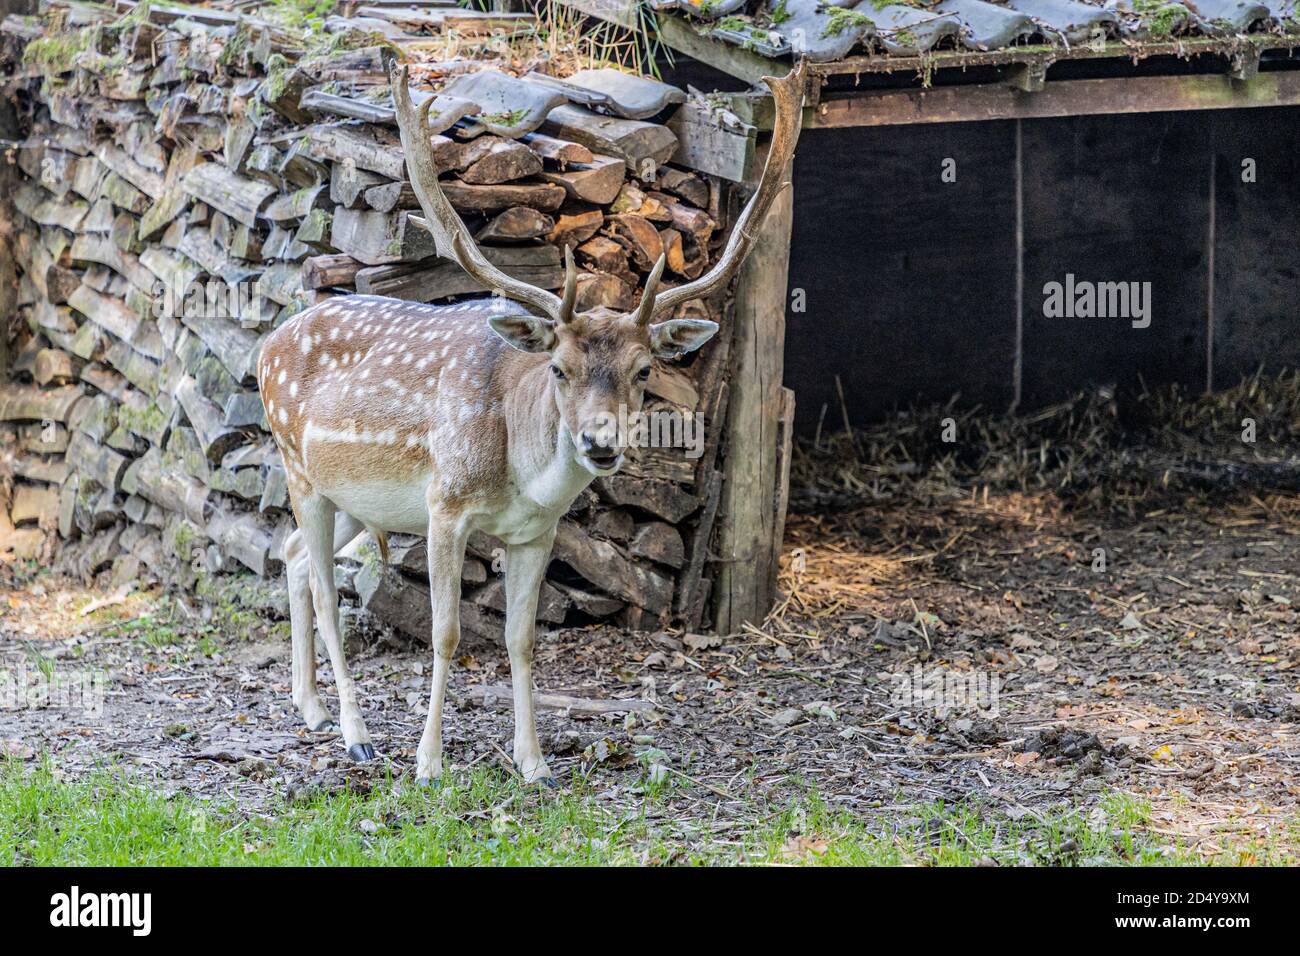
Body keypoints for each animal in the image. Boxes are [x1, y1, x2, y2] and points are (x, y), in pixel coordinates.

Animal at [257, 61, 806, 786]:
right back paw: (355, 734)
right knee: (323, 588)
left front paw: (535, 762)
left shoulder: (537, 533)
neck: (518, 479)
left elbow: (521, 639)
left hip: (351, 497)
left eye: (642, 371)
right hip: (299, 468)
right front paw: (429, 763)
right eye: (559, 368)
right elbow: (447, 633)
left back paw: (312, 708)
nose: (599, 445)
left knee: (291, 554)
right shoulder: (444, 505)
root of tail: (264, 346)